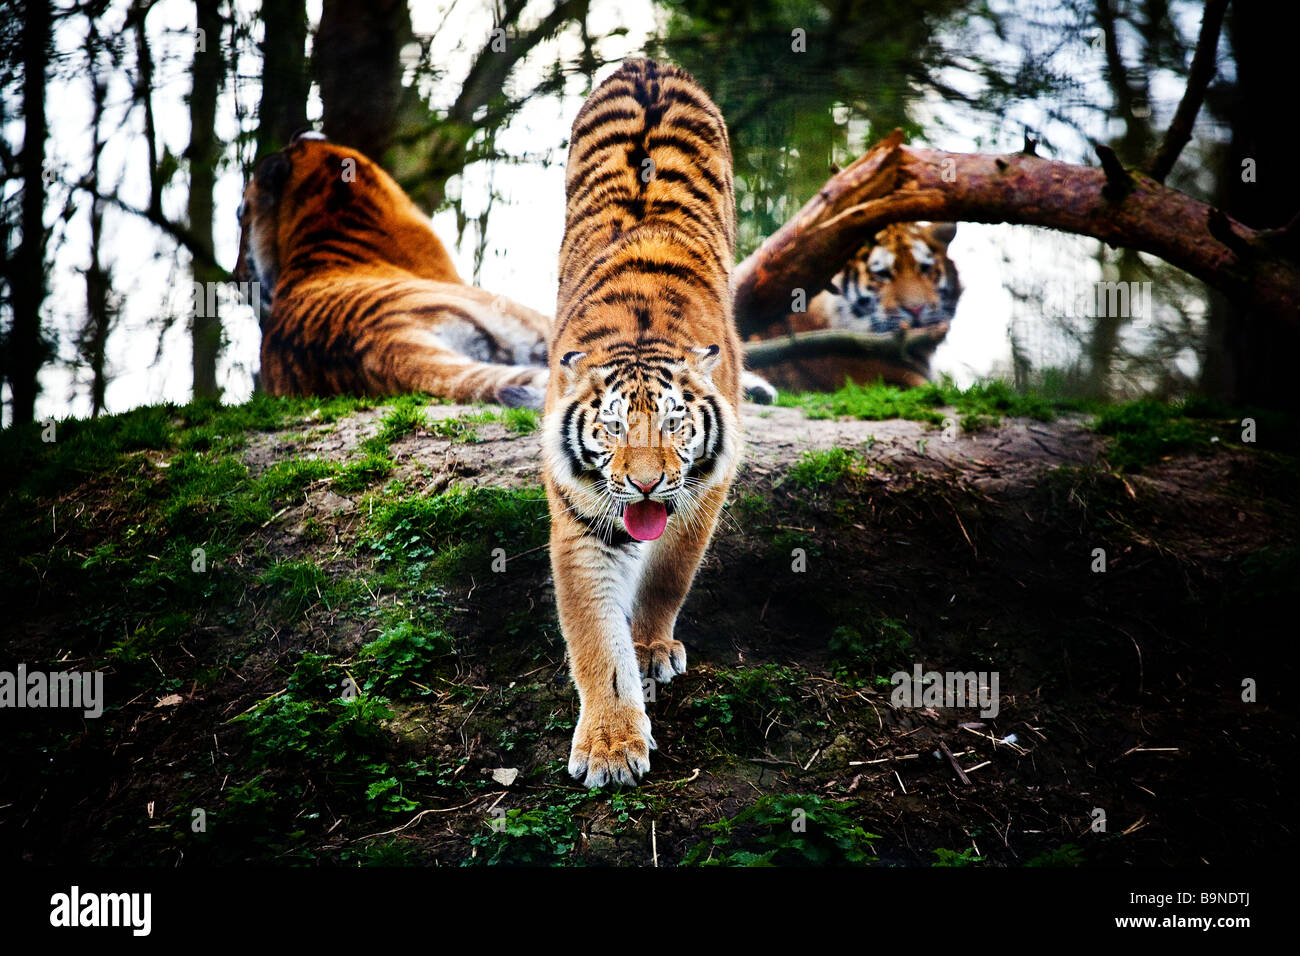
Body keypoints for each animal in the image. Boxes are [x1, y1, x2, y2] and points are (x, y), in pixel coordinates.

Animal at [542, 59, 742, 788]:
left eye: (677, 424)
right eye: (613, 428)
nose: (649, 485)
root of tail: (647, 62)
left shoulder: (704, 490)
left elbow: (668, 572)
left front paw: (651, 649)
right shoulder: (581, 516)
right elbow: (595, 638)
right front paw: (611, 744)